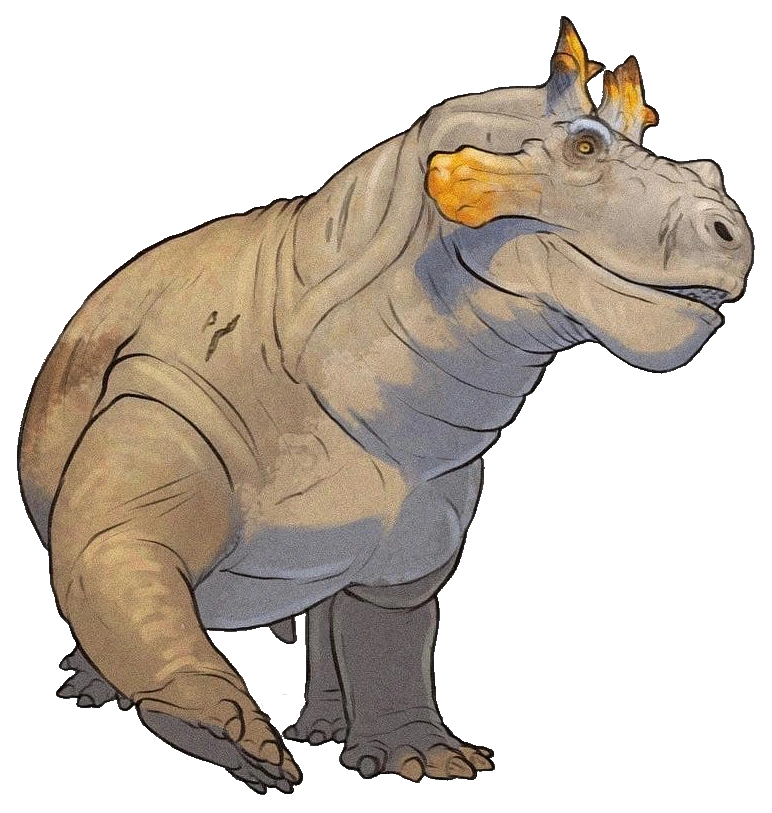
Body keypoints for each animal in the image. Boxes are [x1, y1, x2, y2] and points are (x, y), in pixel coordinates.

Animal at [20, 19, 752, 792]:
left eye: (713, 176)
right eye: (583, 148)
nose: (733, 234)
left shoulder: (427, 483)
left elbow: (388, 621)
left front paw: (423, 759)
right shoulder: (164, 388)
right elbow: (119, 546)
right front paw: (237, 741)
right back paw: (94, 691)